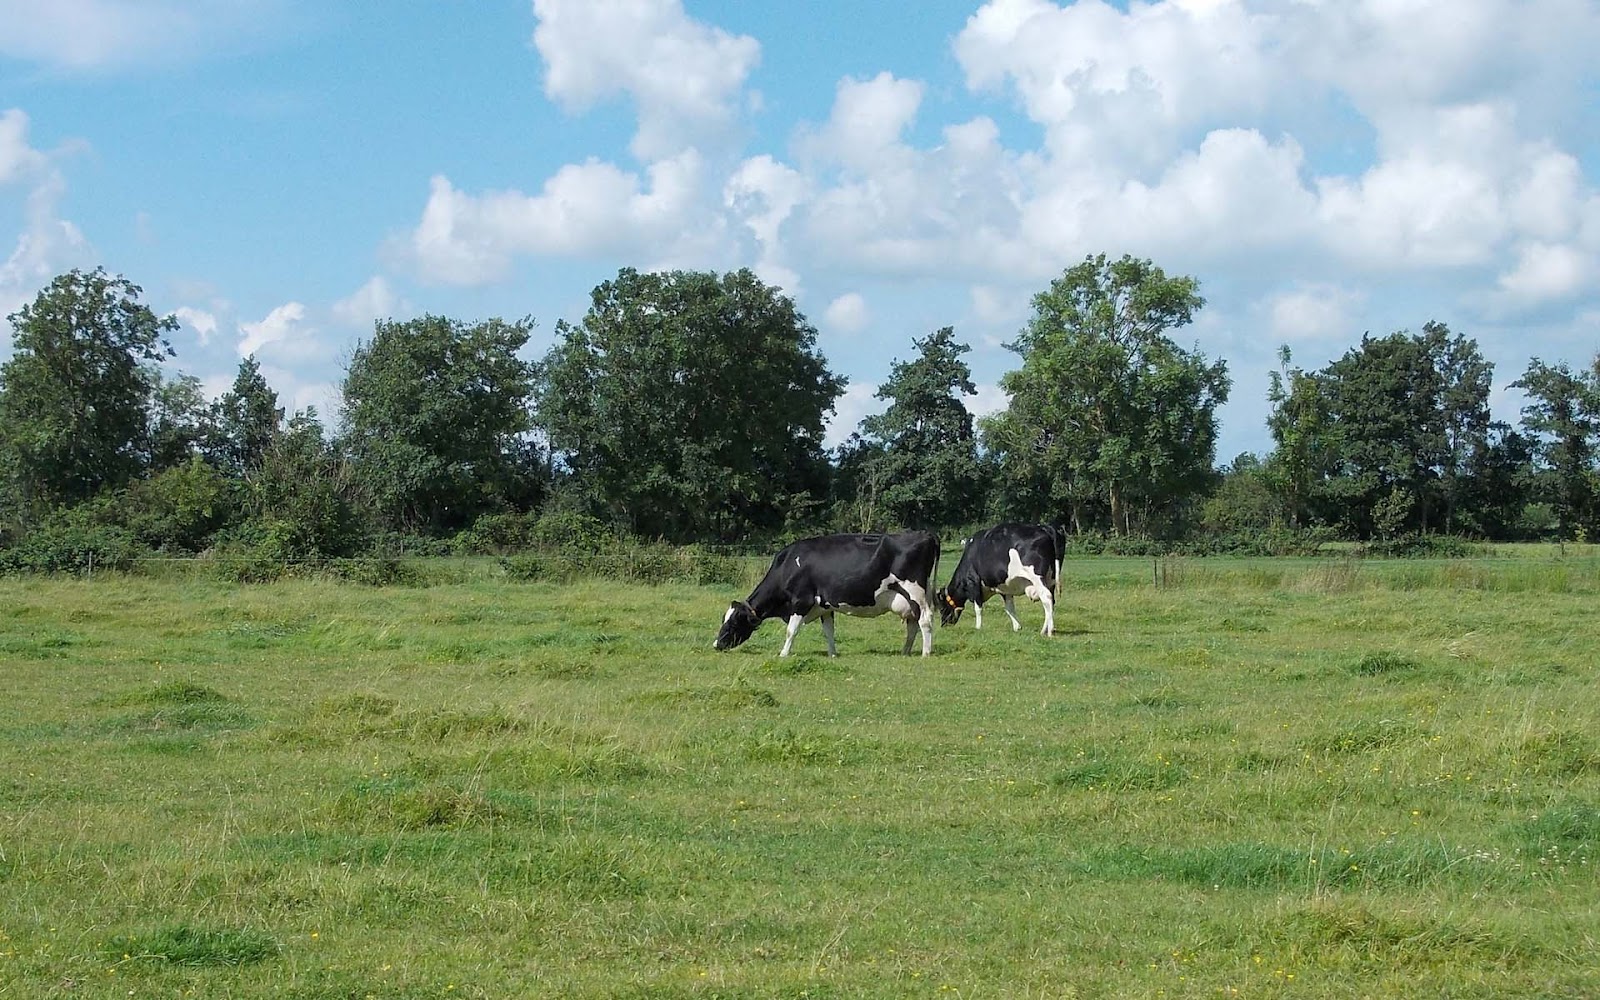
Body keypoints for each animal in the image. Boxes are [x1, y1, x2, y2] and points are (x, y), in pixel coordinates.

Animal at [713, 532, 940, 657]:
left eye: (733, 623)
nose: (716, 644)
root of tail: (925, 533)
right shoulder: (824, 606)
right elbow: (829, 632)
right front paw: (832, 654)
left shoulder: (801, 601)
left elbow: (791, 631)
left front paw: (784, 653)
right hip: (910, 597)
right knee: (913, 623)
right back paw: (905, 652)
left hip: (915, 591)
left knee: (925, 620)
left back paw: (926, 653)